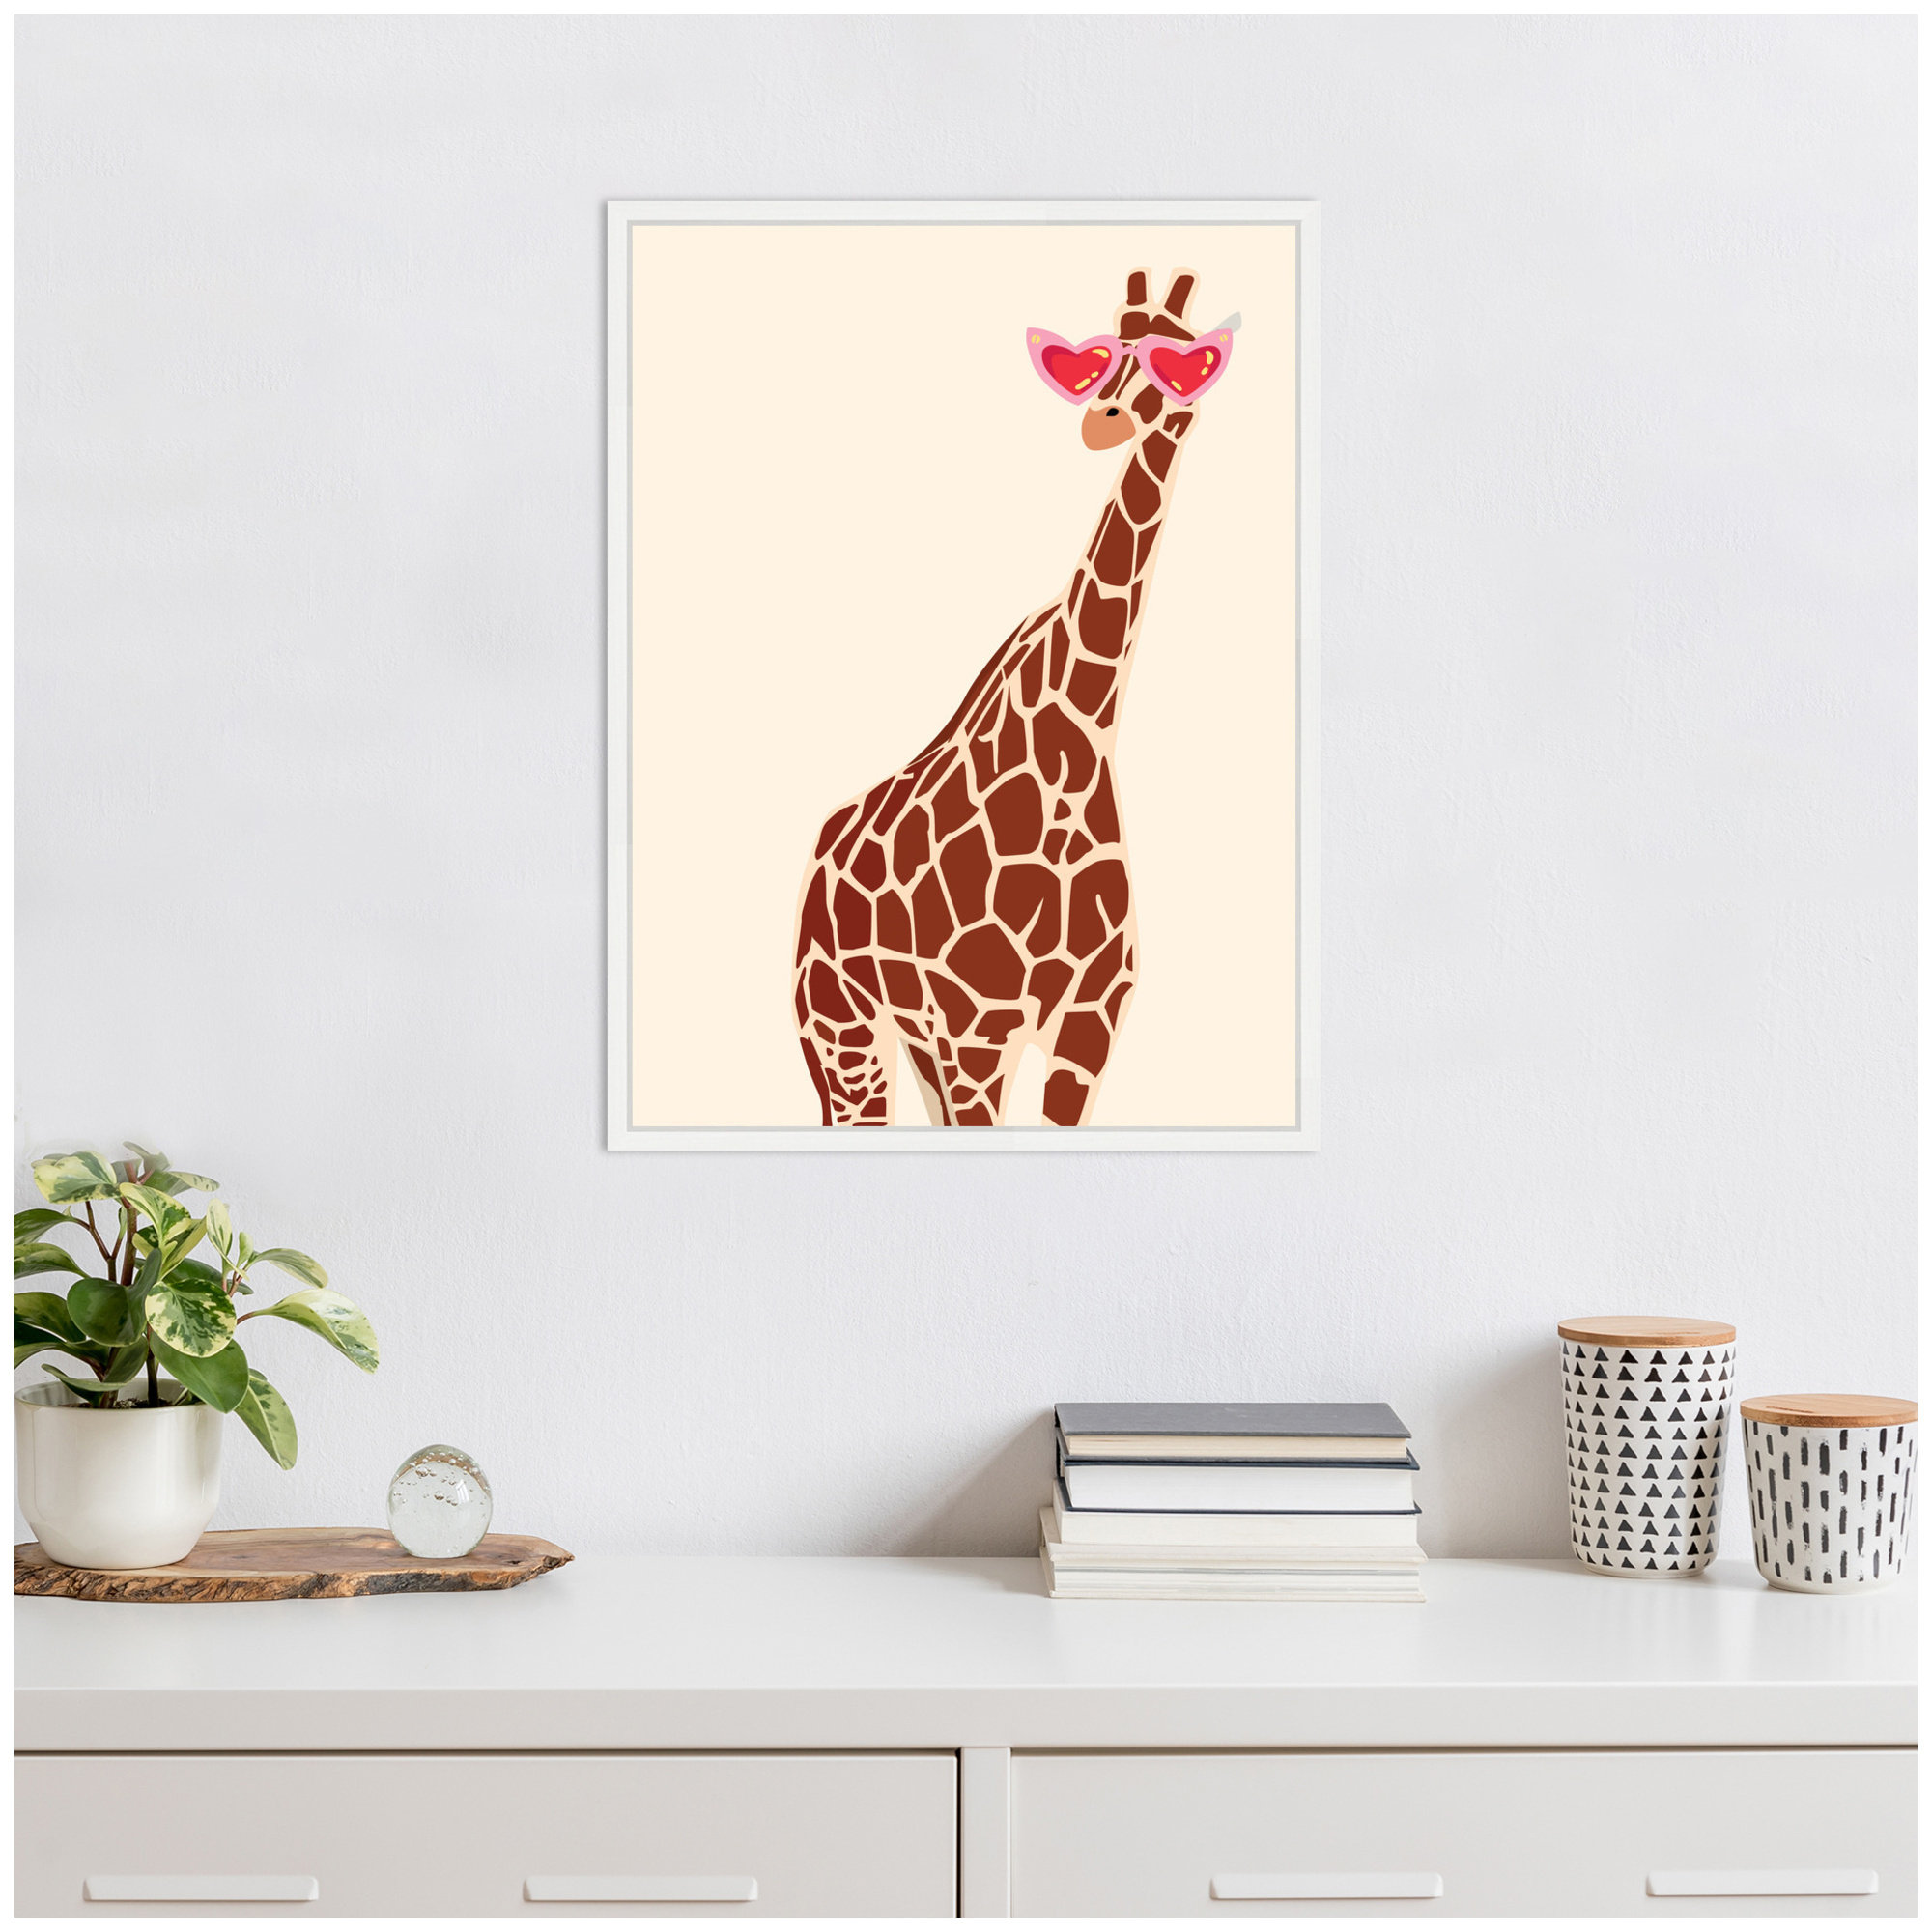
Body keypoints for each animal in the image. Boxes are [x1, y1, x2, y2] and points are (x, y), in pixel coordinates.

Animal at [791, 267, 1232, 1127]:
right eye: (1102, 358)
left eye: (1178, 365)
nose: (1104, 423)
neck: (1075, 740)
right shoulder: (978, 1029)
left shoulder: (1089, 1023)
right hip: (842, 1029)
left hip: (911, 1041)